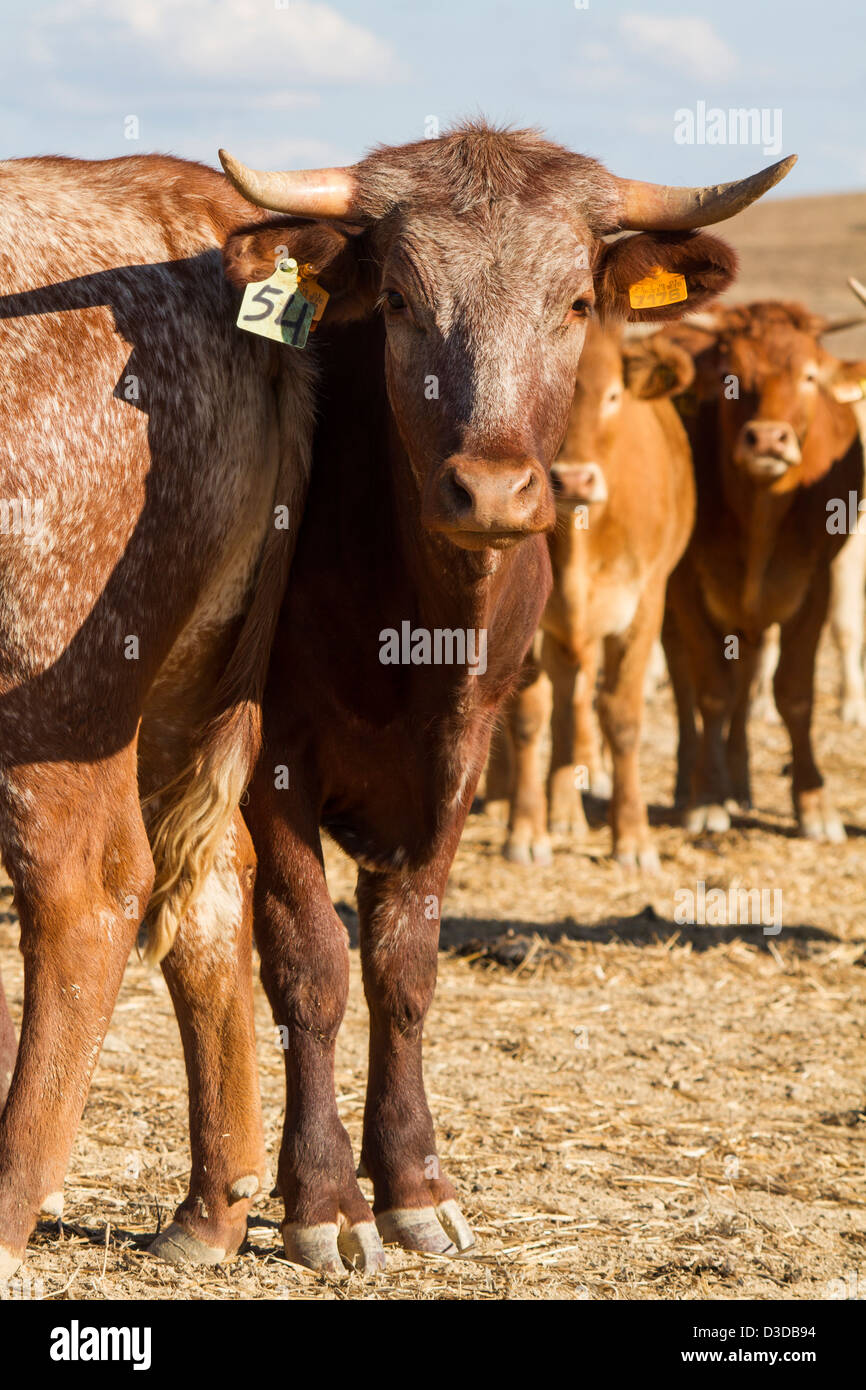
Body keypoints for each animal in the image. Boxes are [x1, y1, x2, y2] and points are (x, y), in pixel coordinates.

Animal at [485, 321, 695, 871]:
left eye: (614, 395)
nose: (574, 478)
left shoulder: (644, 607)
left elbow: (620, 717)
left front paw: (633, 837)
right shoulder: (529, 619)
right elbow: (529, 717)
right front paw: (526, 828)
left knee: (573, 699)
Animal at [658, 302, 866, 842]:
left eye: (809, 376)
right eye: (730, 376)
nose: (768, 438)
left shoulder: (815, 584)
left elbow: (793, 694)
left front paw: (813, 803)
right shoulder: (686, 585)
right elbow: (710, 691)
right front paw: (706, 798)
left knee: (748, 678)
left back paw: (741, 780)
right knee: (686, 680)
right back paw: (688, 780)